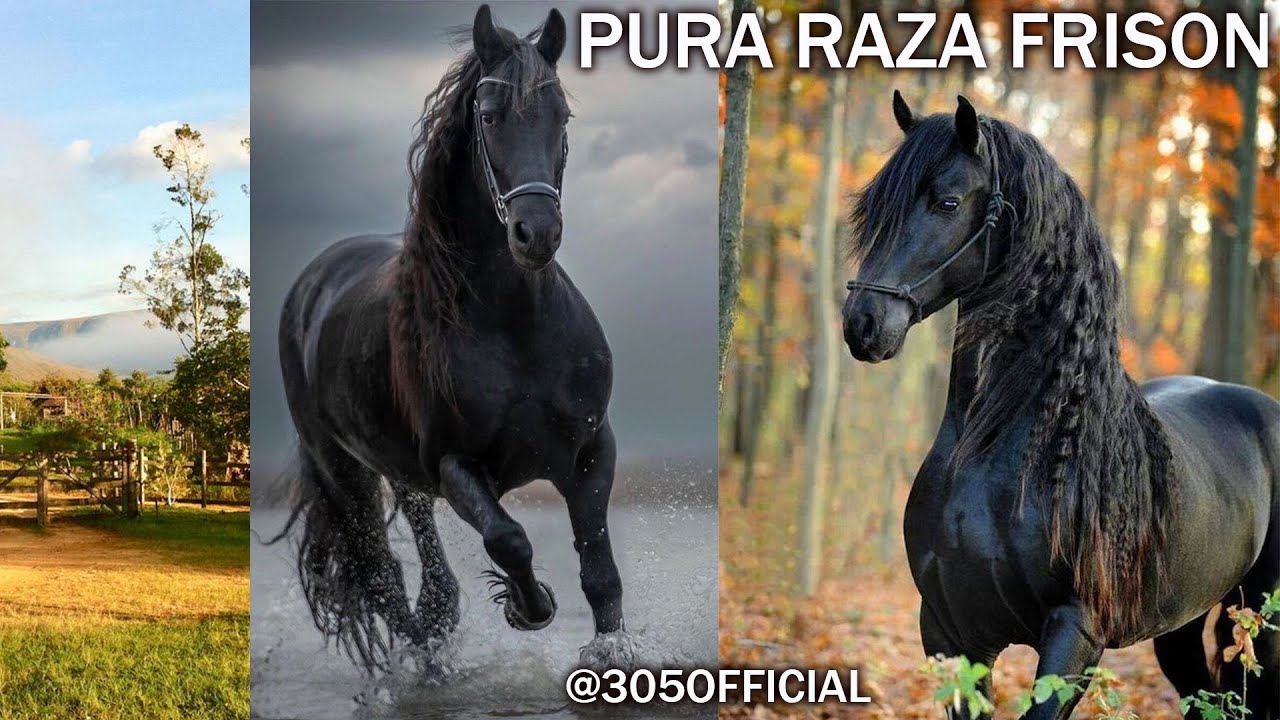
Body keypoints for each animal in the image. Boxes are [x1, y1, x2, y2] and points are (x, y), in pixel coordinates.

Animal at [276, 5, 634, 672]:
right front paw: (528, 607)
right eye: (489, 116)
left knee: (425, 565)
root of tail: (313, 281)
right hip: (345, 474)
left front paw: (612, 652)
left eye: (561, 116)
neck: (517, 329)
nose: (536, 234)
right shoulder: (456, 464)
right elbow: (509, 540)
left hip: (398, 471)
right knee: (382, 578)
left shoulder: (590, 451)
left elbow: (599, 569)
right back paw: (429, 661)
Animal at [842, 92, 1279, 720]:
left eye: (948, 202)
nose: (864, 325)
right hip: (1178, 626)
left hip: (1263, 617)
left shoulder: (1075, 634)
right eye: (874, 208)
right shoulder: (950, 634)